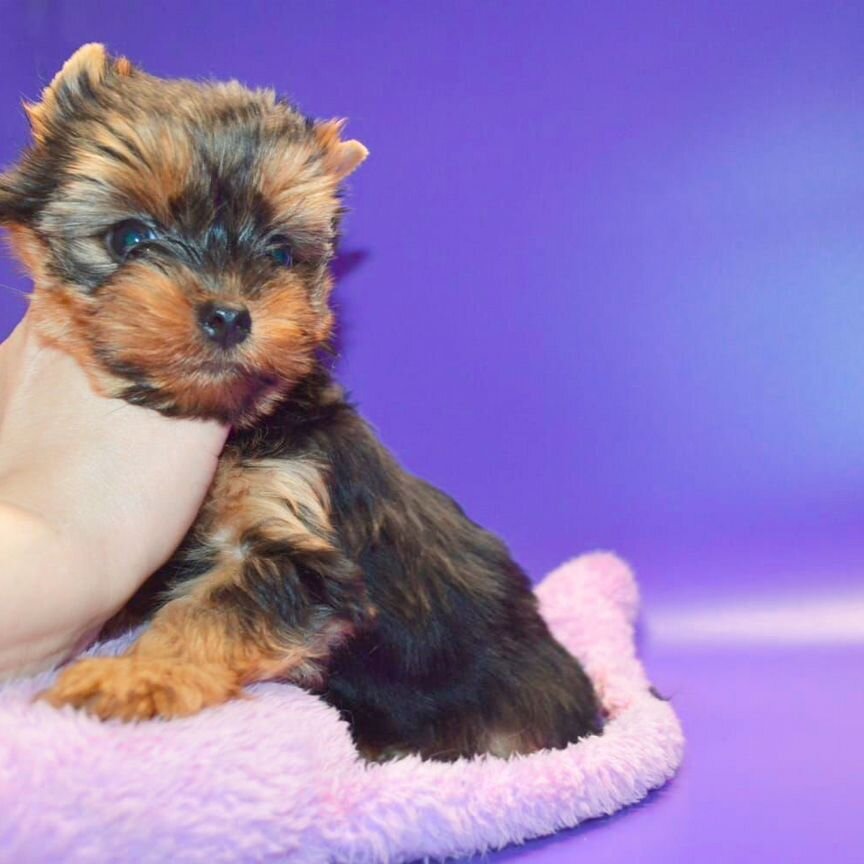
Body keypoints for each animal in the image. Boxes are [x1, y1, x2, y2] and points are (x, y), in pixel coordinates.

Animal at [0, 45, 601, 761]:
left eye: (282, 253)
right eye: (130, 240)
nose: (229, 316)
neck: (236, 425)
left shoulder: (295, 537)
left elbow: (210, 612)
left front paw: (137, 675)